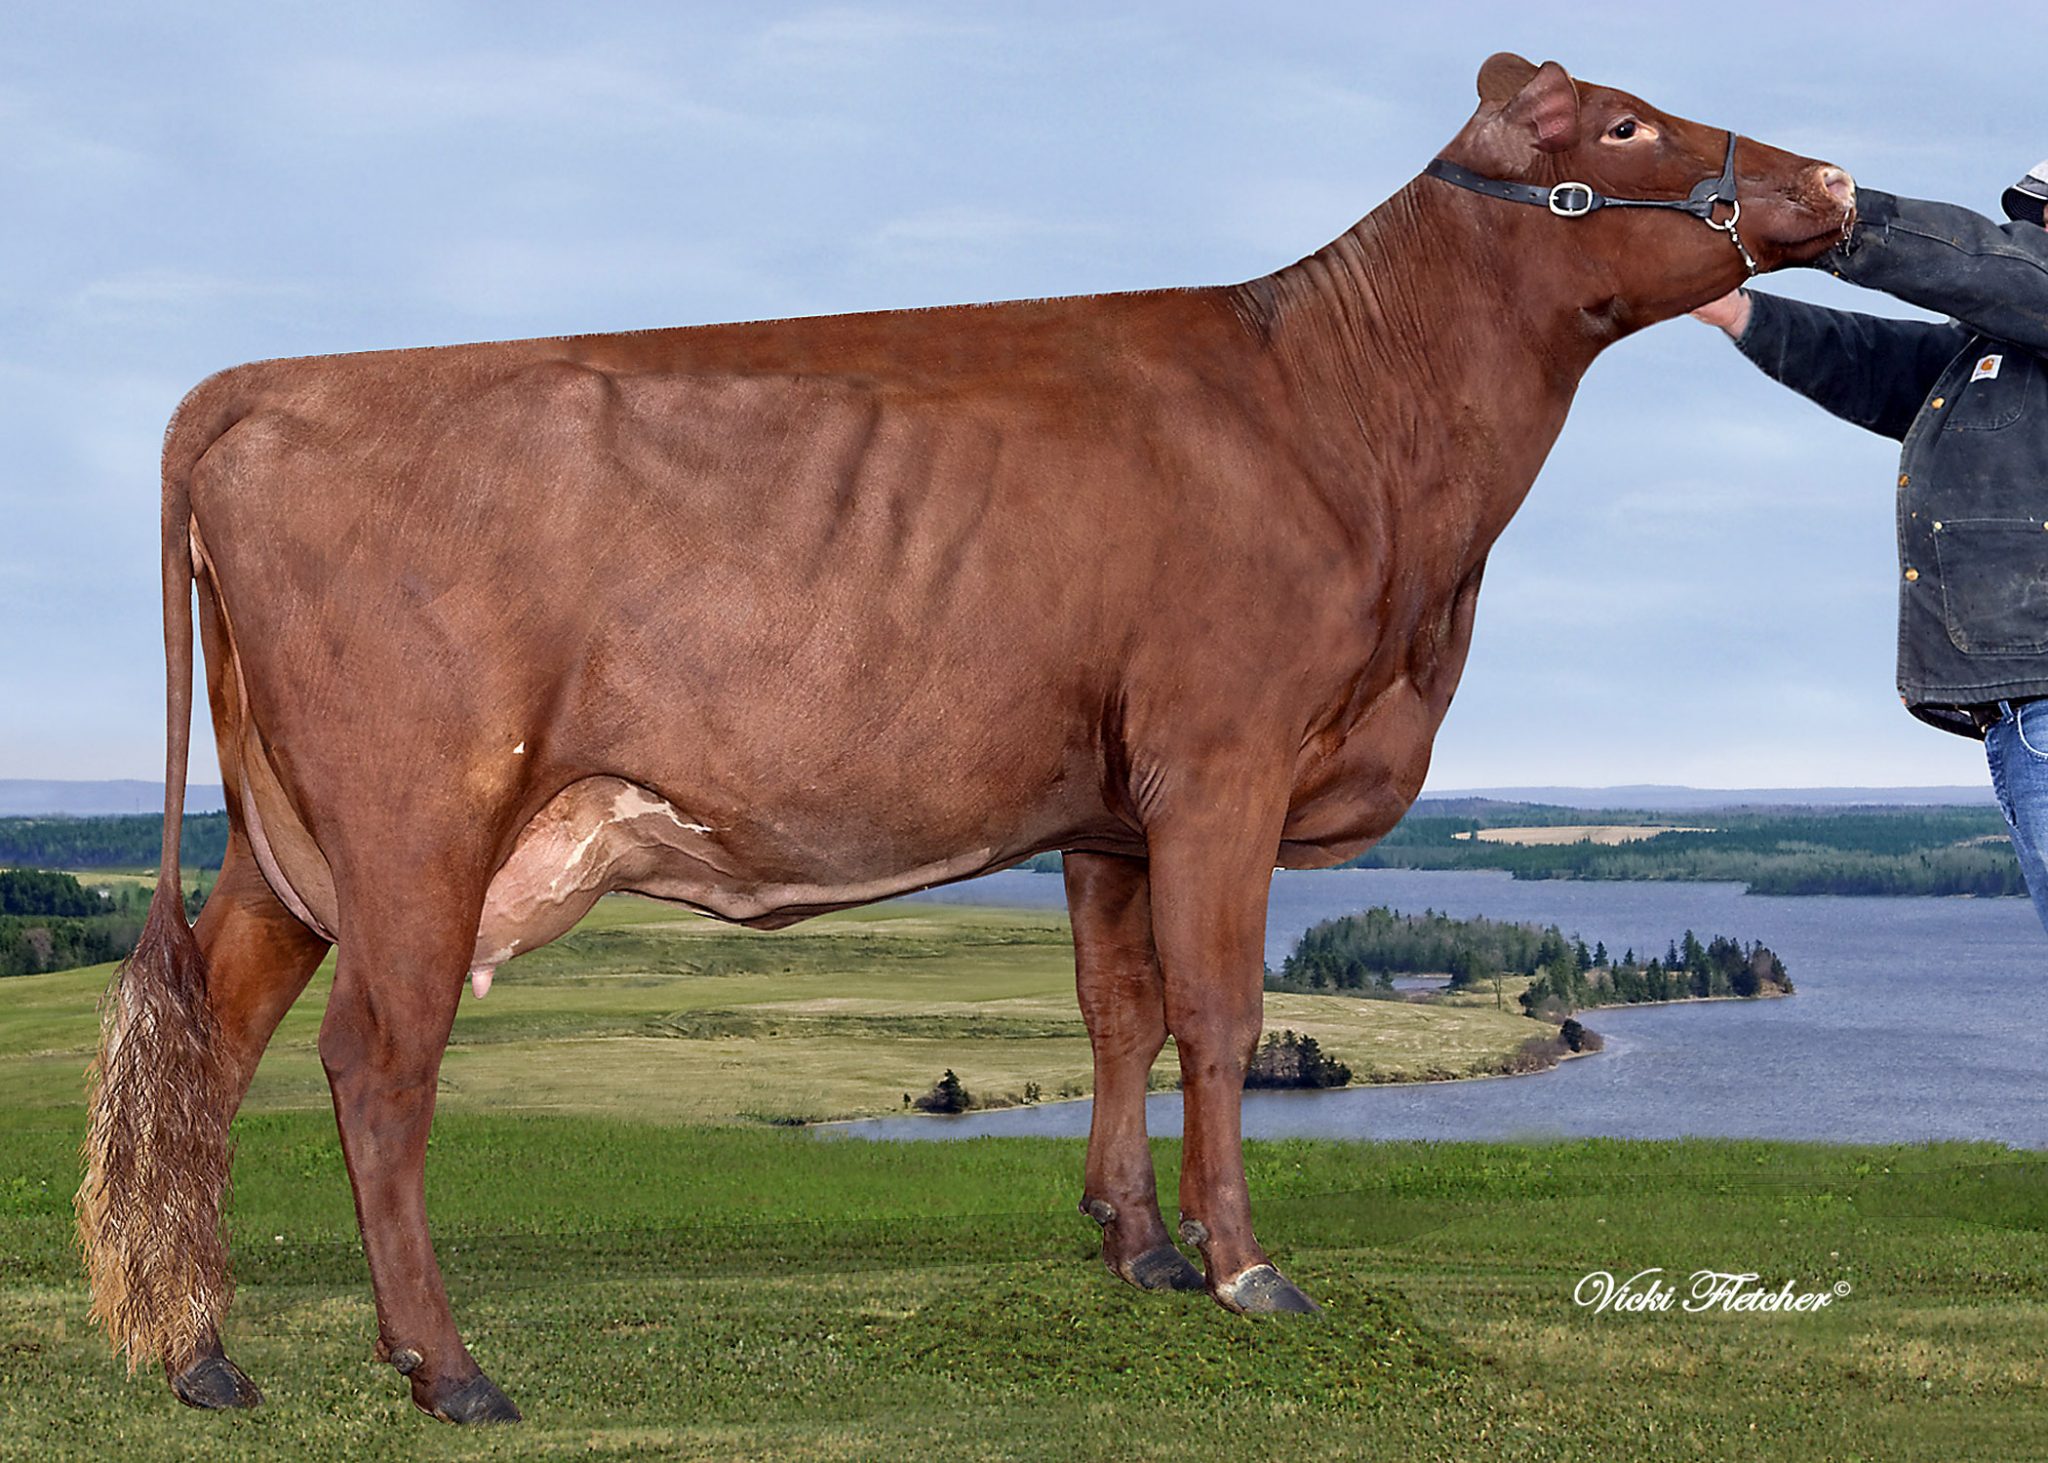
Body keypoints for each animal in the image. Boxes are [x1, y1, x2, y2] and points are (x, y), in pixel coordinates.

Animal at [78, 53, 1855, 1423]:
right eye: (1624, 123)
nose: (1832, 174)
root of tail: (261, 383)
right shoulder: (1226, 756)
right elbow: (1222, 1009)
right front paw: (1246, 1267)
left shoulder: (1112, 807)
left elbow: (1121, 1010)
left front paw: (1136, 1247)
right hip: (416, 819)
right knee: (375, 1062)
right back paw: (446, 1367)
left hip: (281, 837)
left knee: (210, 1042)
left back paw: (206, 1358)